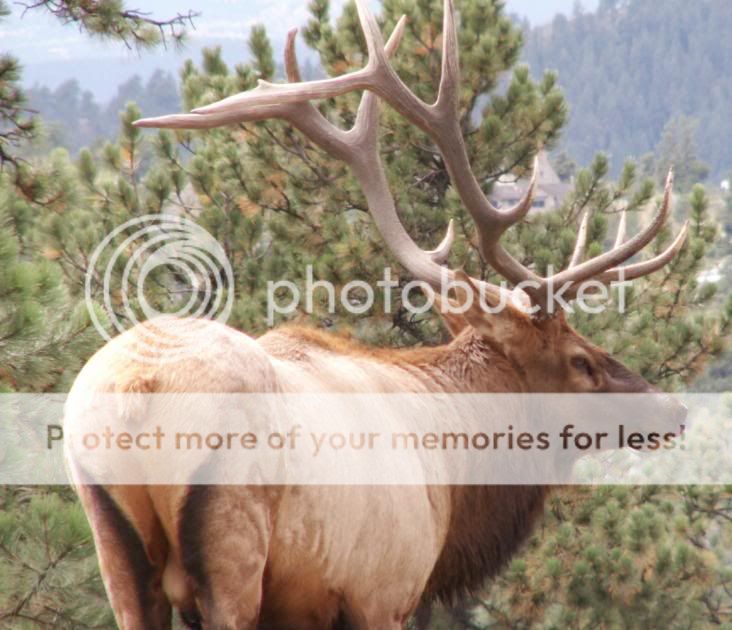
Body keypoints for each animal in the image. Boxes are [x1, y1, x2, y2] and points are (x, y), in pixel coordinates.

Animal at [64, 0, 689, 628]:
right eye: (582, 361)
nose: (676, 411)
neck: (454, 479)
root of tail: (138, 387)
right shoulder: (384, 588)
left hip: (114, 544)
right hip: (232, 541)